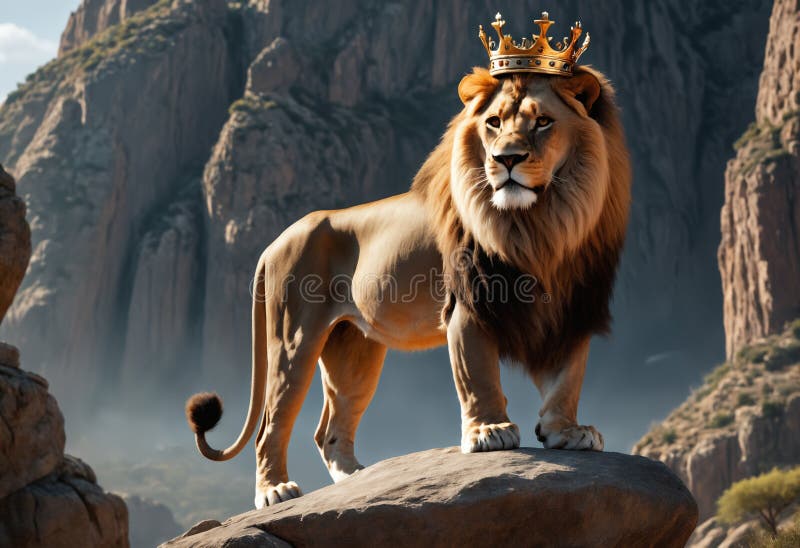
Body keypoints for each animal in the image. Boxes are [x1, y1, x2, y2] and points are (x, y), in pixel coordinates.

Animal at [186, 64, 631, 508]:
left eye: (543, 122)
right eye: (494, 122)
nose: (506, 159)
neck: (543, 224)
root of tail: (275, 241)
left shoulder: (573, 308)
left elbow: (566, 380)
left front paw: (567, 432)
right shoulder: (467, 305)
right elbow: (478, 373)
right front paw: (489, 432)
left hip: (354, 350)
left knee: (328, 431)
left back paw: (356, 481)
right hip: (293, 339)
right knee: (271, 425)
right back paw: (275, 491)